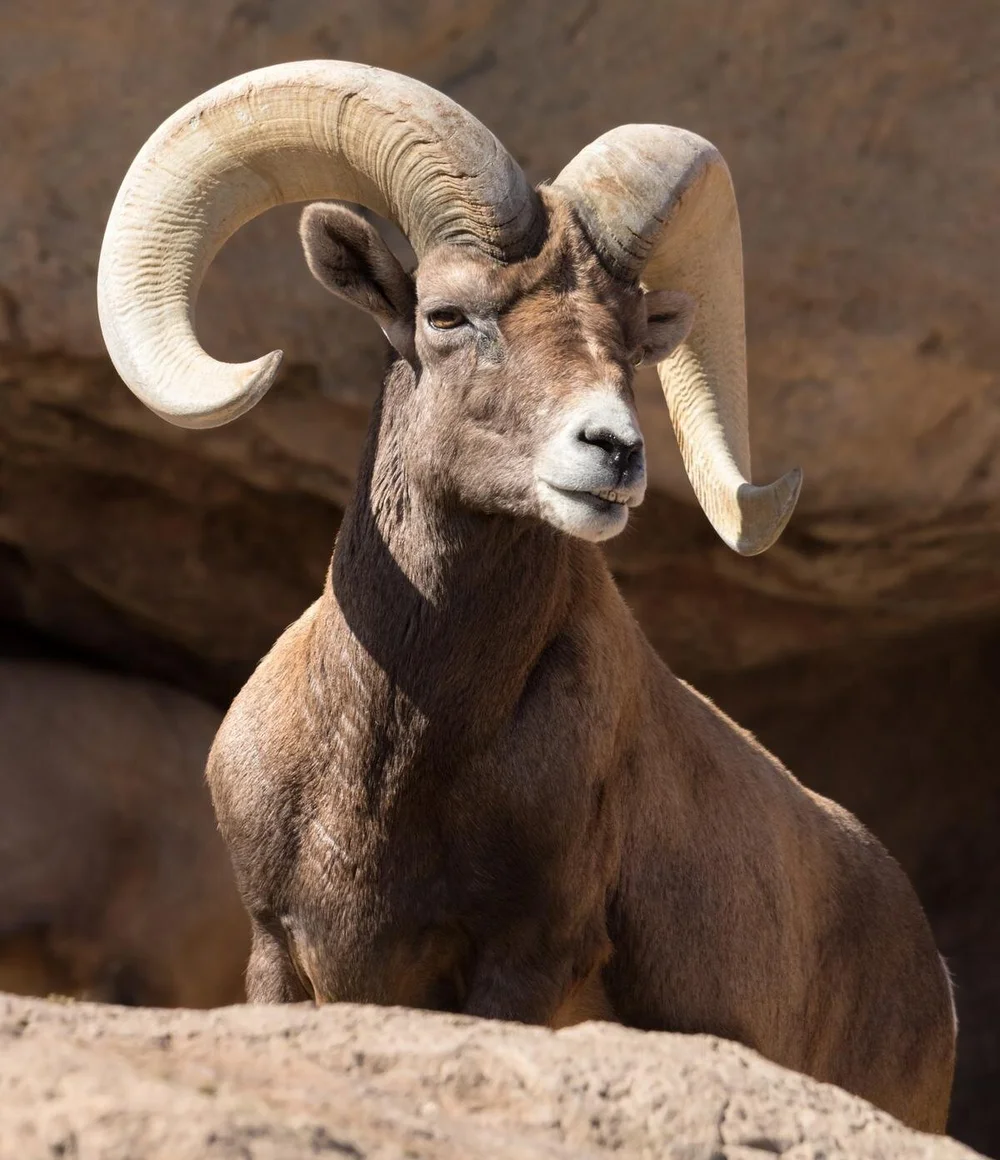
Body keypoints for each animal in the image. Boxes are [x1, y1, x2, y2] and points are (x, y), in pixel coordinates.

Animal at [96, 61, 957, 1131]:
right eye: (446, 316)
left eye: (629, 340)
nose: (613, 453)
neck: (397, 749)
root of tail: (931, 969)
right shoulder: (279, 956)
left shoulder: (522, 965)